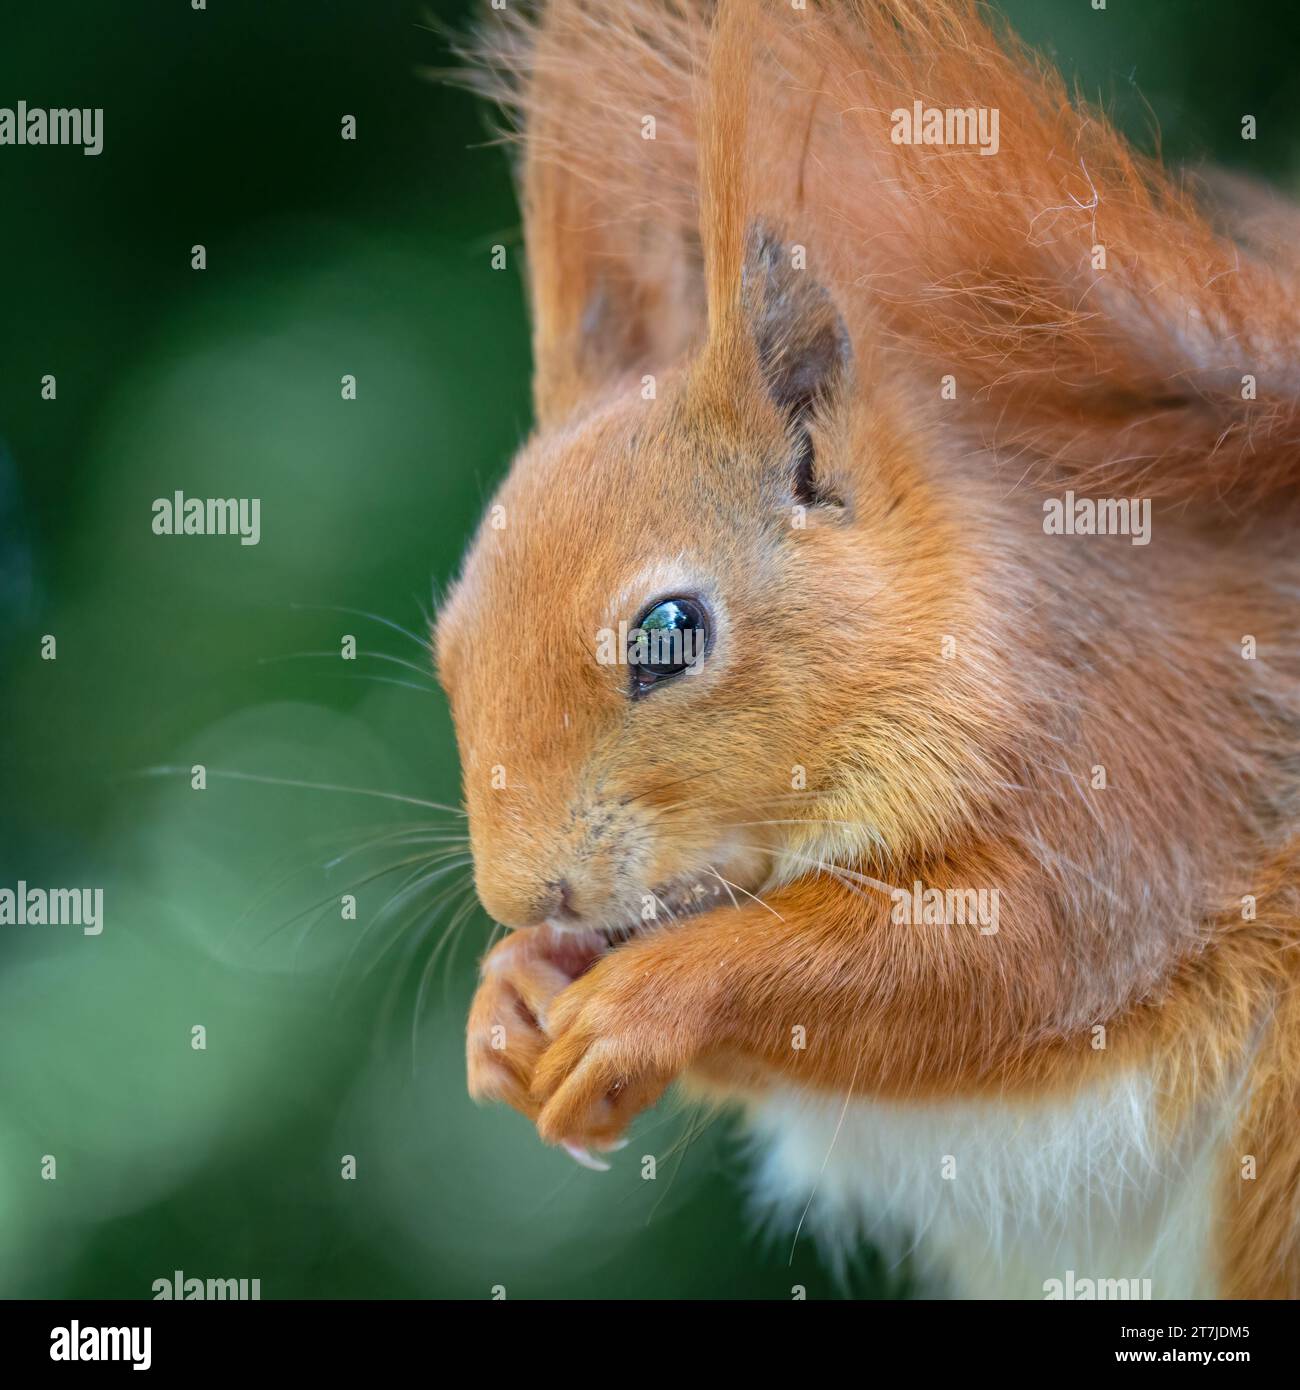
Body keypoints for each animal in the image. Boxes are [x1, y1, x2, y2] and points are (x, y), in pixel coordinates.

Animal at [435, 0, 1300, 1298]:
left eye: (668, 632)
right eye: (450, 649)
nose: (527, 893)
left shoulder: (1136, 763)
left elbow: (1012, 957)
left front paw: (648, 996)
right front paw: (508, 1001)